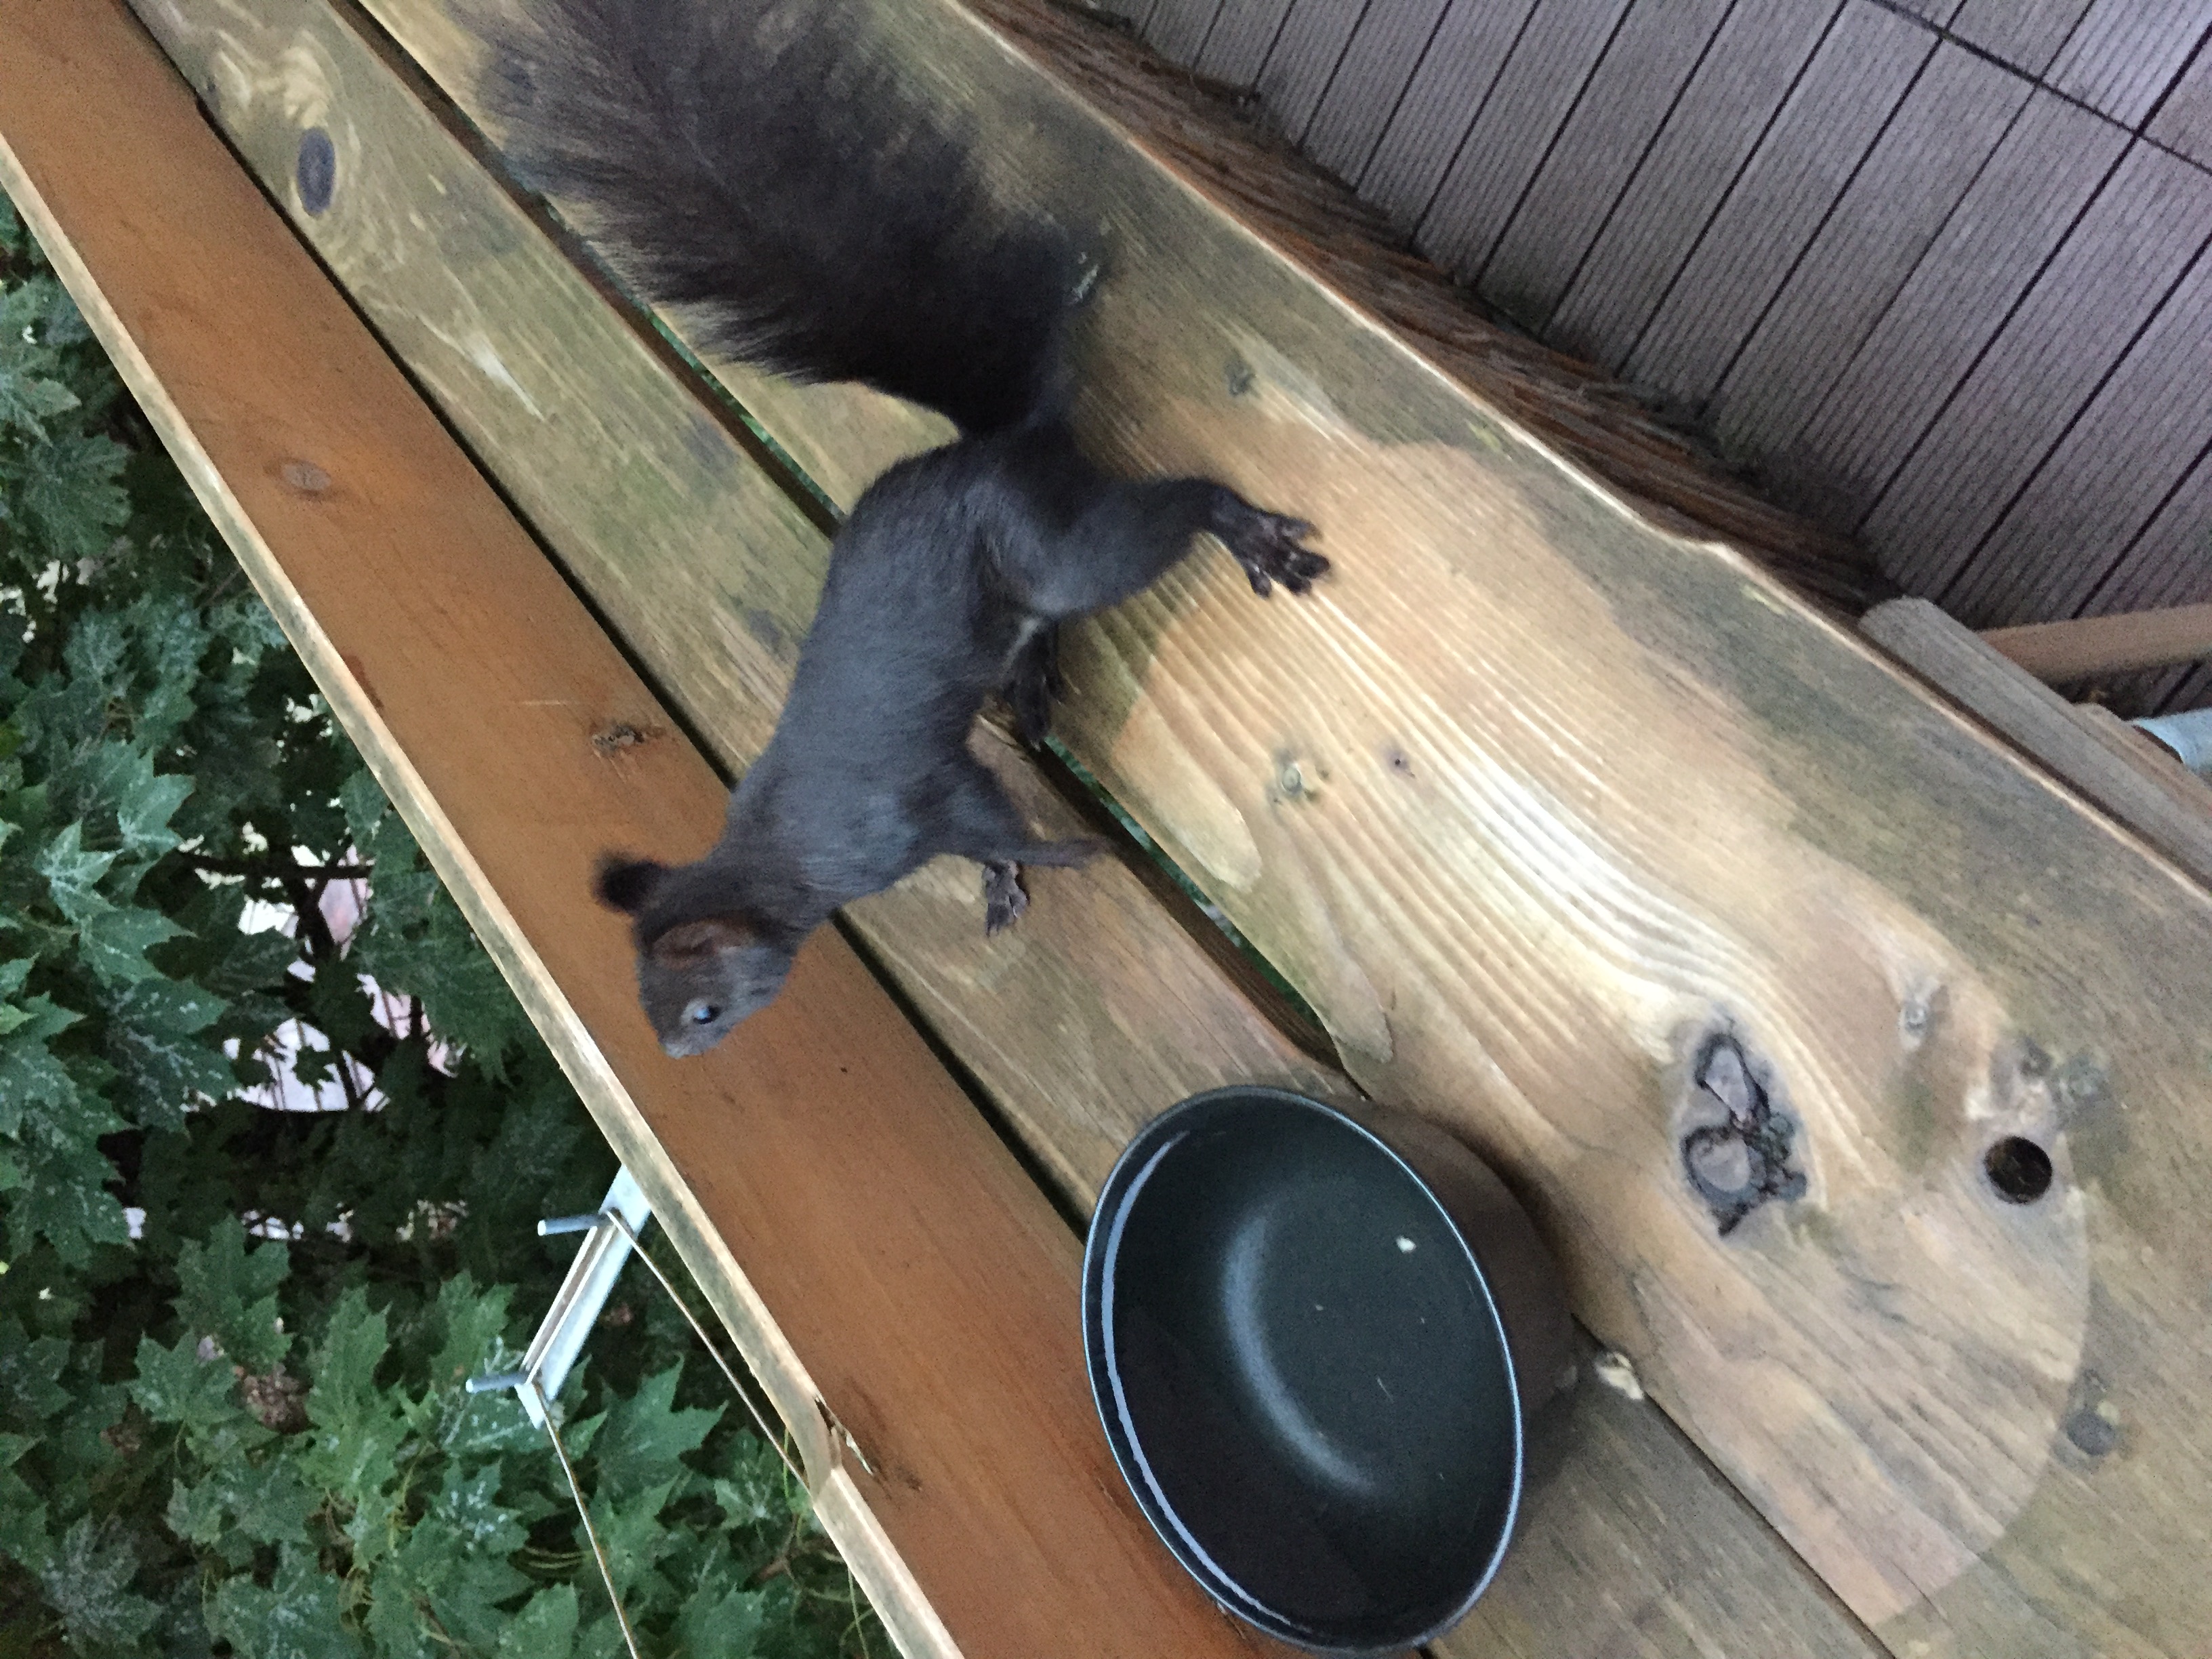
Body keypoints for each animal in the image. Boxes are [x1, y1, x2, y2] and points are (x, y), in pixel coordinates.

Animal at [481, 0, 1328, 1057]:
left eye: (702, 1004)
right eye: (646, 998)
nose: (676, 1051)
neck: (781, 863)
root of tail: (993, 444)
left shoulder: (910, 807)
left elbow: (990, 820)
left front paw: (1064, 853)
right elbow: (985, 842)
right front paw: (1009, 875)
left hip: (1055, 551)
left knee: (1155, 526)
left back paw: (1244, 532)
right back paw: (1033, 676)